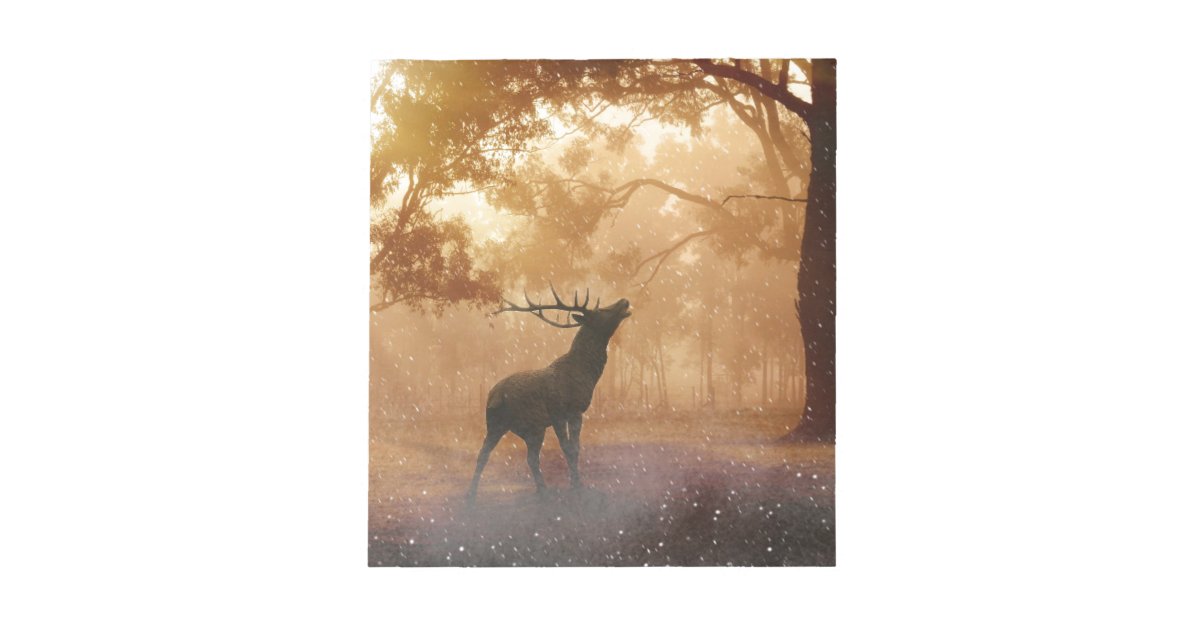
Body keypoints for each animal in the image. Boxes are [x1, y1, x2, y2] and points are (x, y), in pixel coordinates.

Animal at [466, 284, 632, 503]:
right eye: (600, 310)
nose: (624, 301)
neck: (586, 373)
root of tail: (494, 396)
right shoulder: (562, 410)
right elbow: (569, 448)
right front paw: (576, 487)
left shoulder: (575, 412)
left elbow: (577, 448)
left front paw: (577, 484)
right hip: (502, 423)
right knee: (487, 454)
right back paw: (473, 494)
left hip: (527, 428)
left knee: (527, 457)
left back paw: (541, 490)